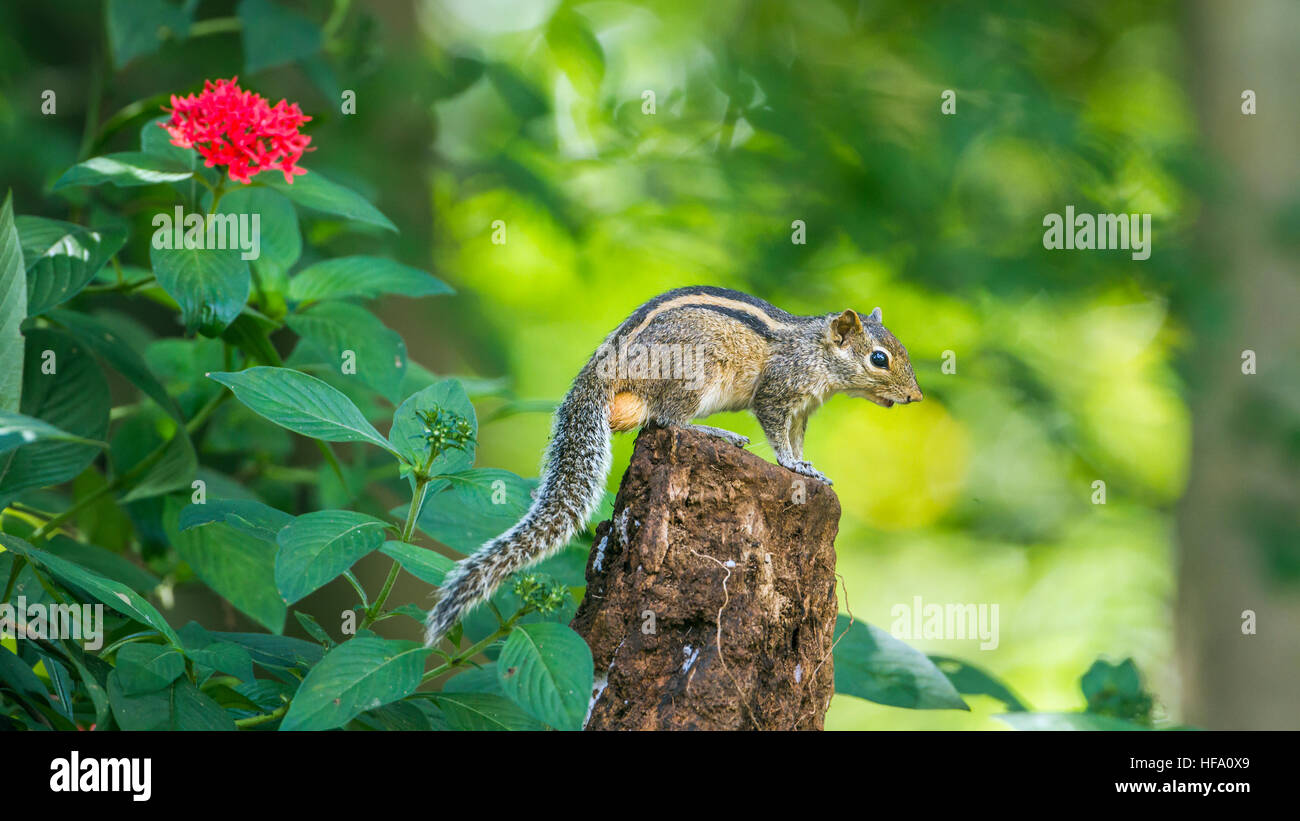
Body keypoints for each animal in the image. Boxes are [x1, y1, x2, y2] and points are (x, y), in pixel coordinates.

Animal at [424, 285, 923, 646]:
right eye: (878, 358)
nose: (916, 397)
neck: (816, 352)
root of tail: (606, 366)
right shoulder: (778, 394)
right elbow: (776, 433)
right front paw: (793, 466)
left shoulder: (803, 410)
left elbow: (796, 440)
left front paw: (805, 465)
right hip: (691, 374)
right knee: (667, 419)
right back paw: (717, 433)